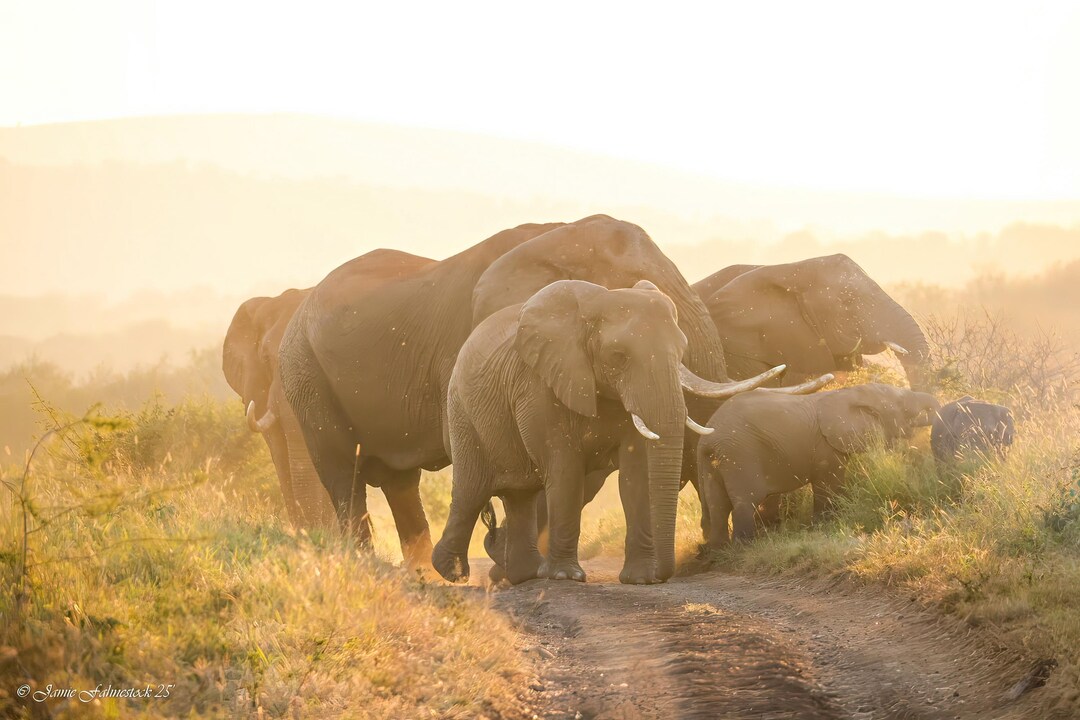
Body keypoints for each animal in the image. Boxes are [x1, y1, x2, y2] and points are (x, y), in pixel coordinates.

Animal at [280, 215, 765, 570]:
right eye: (634, 278)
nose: (695, 560)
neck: (557, 237)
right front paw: (508, 562)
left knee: (399, 481)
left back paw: (420, 570)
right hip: (304, 372)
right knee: (343, 471)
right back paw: (366, 565)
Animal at [432, 280, 785, 586]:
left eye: (681, 351)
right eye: (618, 356)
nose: (665, 574)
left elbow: (636, 474)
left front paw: (641, 579)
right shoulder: (539, 386)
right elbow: (565, 471)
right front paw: (566, 577)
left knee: (520, 497)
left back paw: (525, 575)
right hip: (462, 412)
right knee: (471, 490)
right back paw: (452, 573)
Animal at [696, 383, 940, 545]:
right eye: (902, 406)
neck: (849, 393)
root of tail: (709, 437)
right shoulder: (826, 447)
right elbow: (829, 485)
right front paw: (825, 527)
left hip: (713, 462)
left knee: (718, 506)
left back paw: (720, 552)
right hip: (740, 453)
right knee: (745, 502)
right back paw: (744, 548)